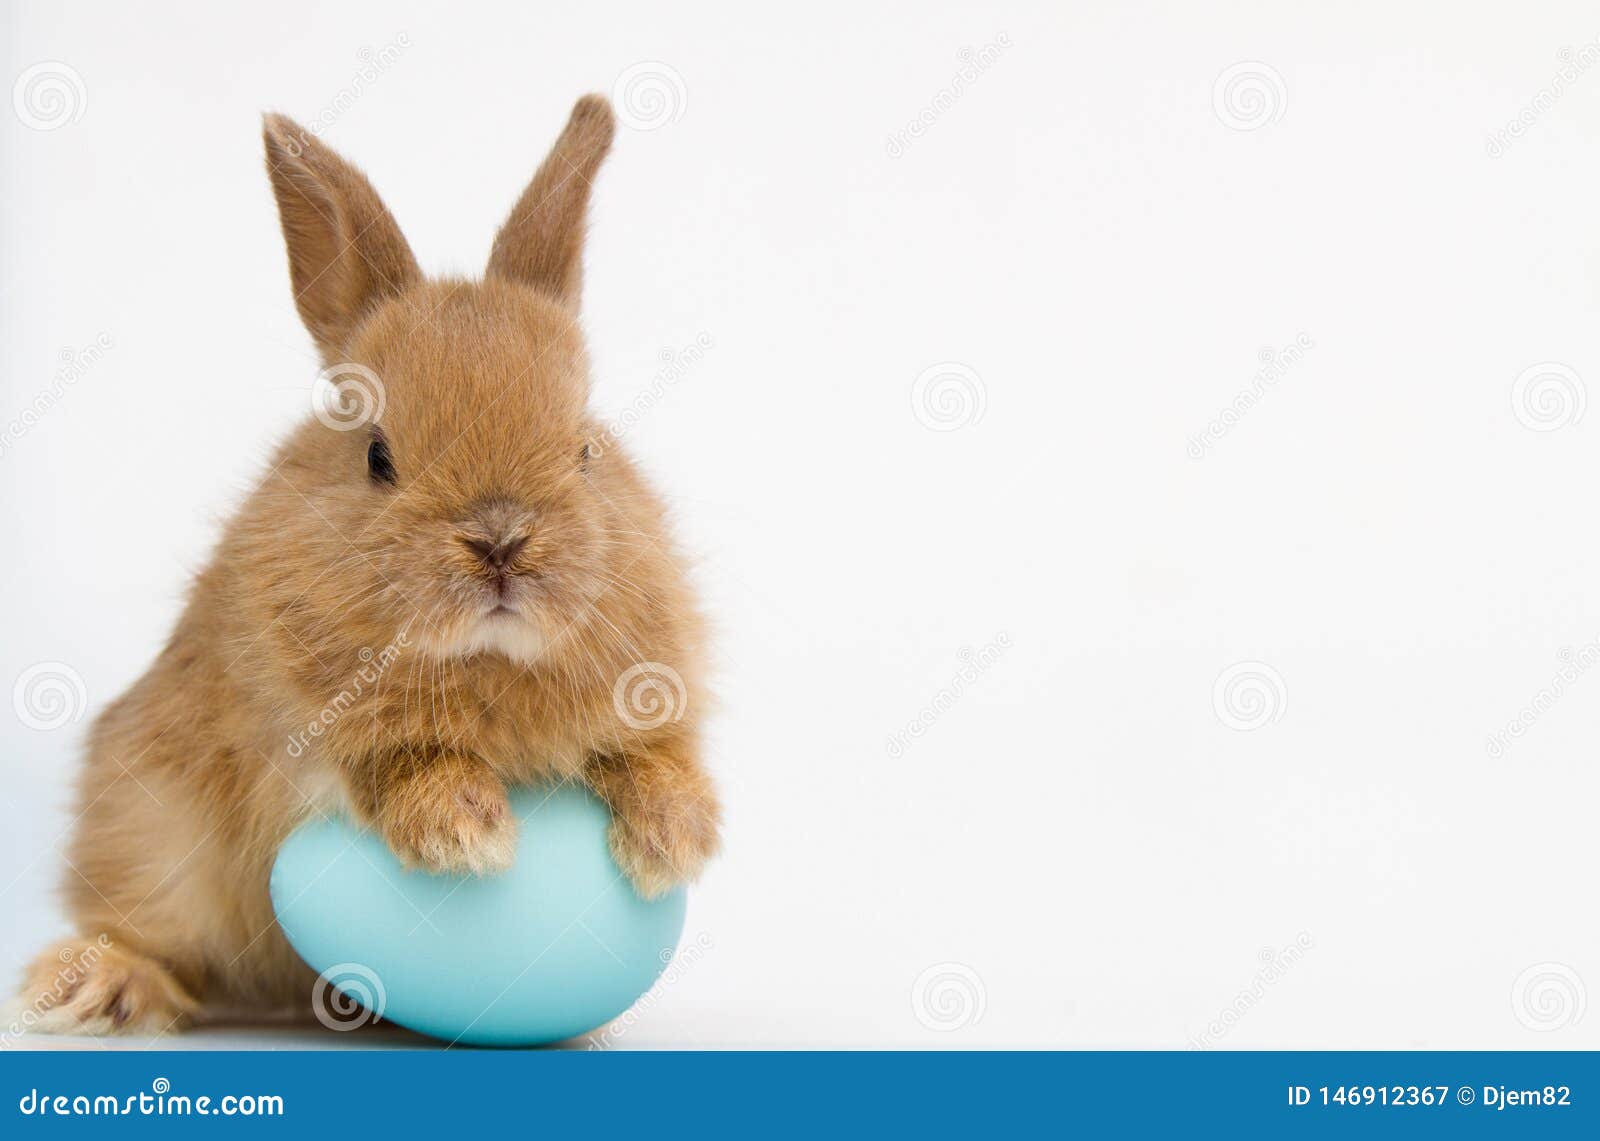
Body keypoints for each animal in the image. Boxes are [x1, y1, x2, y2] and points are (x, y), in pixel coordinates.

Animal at [12, 94, 719, 1036]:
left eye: (585, 448)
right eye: (378, 456)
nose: (500, 543)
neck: (487, 660)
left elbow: (654, 754)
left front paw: (676, 837)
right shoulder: (302, 728)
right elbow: (390, 759)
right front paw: (466, 830)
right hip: (152, 838)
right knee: (152, 935)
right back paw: (95, 987)